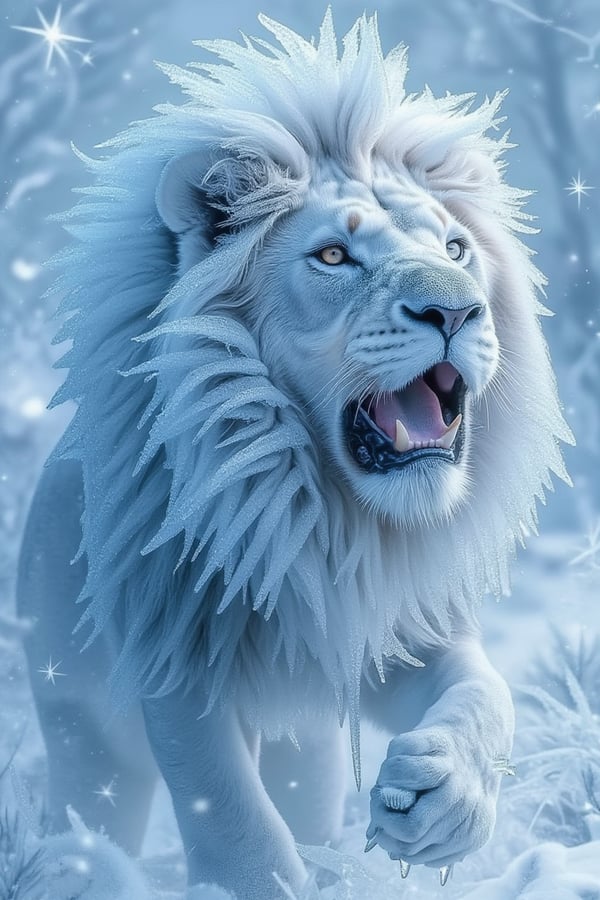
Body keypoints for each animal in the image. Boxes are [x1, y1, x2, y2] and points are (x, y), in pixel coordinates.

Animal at [17, 12, 572, 900]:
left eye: (456, 248)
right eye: (334, 257)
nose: (456, 310)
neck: (322, 518)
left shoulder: (400, 629)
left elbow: (485, 694)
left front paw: (436, 800)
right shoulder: (178, 665)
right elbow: (232, 818)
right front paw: (263, 880)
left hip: (306, 756)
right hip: (80, 725)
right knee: (94, 808)